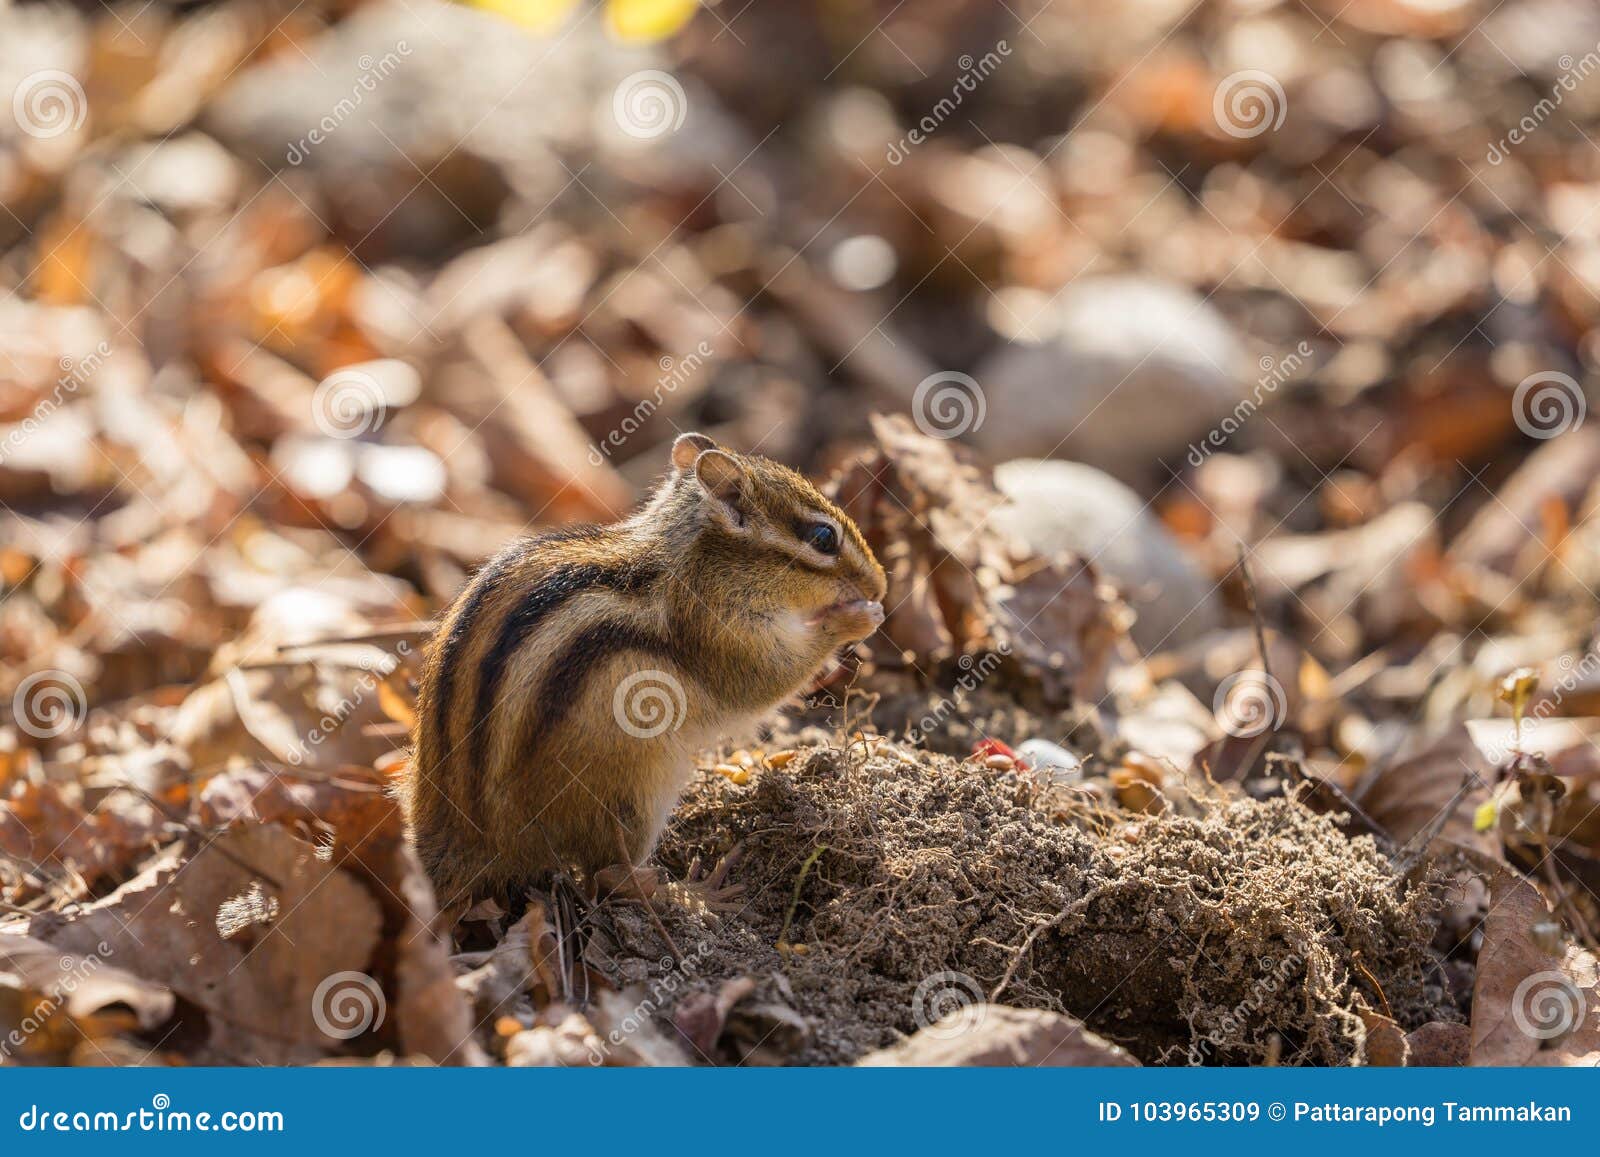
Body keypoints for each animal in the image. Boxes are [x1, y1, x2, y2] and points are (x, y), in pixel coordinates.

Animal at [400, 432, 887, 909]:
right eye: (823, 537)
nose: (881, 584)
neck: (694, 563)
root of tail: (467, 841)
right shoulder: (720, 632)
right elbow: (768, 680)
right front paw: (857, 618)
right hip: (634, 794)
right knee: (611, 876)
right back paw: (699, 895)